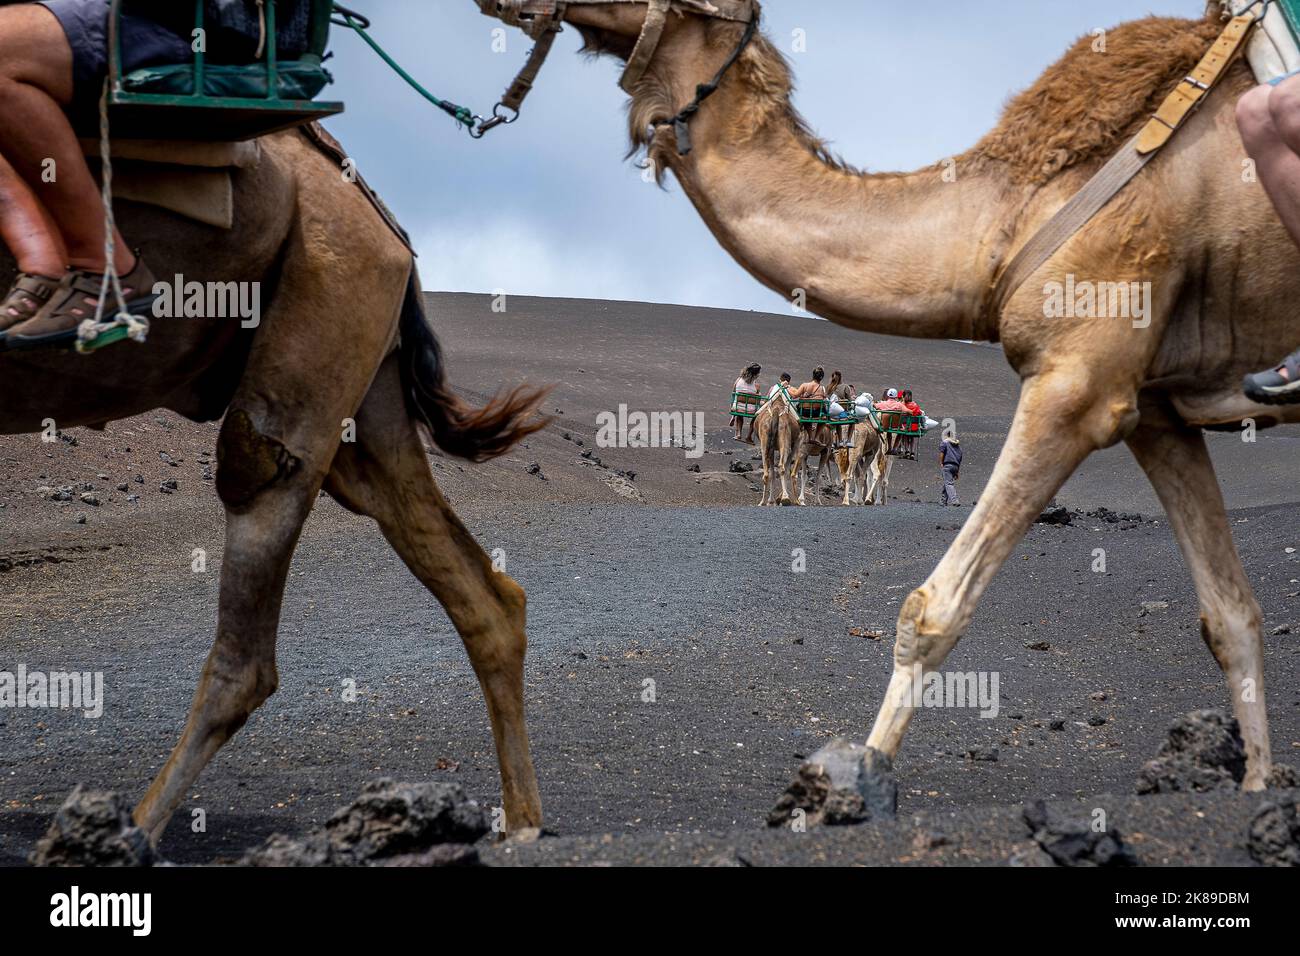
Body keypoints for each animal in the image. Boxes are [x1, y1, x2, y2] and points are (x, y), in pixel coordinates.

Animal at [0, 128, 547, 842]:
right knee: (484, 597)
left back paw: (133, 833)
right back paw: (523, 826)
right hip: (367, 406)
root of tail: (392, 233)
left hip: (315, 333)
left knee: (248, 627)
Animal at [488, 1, 1300, 791]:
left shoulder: (1081, 378)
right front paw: (1256, 789)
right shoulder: (1155, 409)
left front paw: (856, 782)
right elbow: (1231, 617)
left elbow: (933, 609)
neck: (1007, 218)